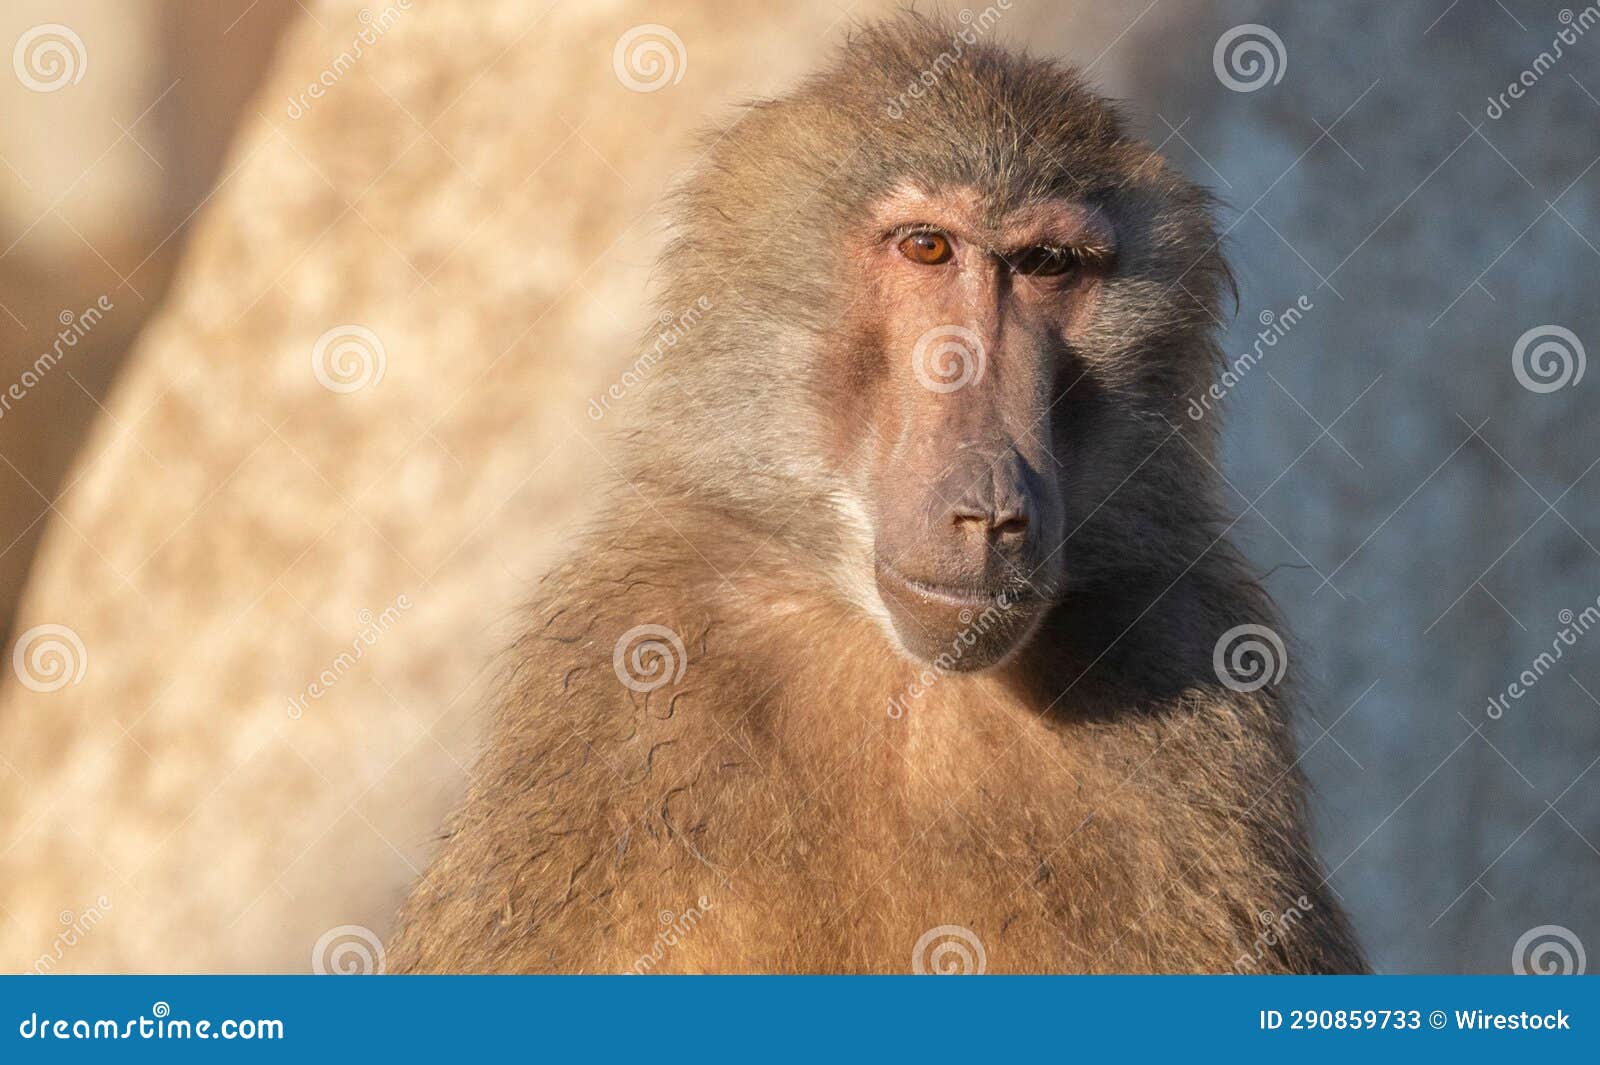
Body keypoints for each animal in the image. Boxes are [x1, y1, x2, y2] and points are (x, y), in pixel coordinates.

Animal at [387, 15, 1368, 975]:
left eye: (1049, 264)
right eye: (927, 247)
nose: (992, 507)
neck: (912, 683)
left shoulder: (1184, 642)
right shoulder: (623, 659)